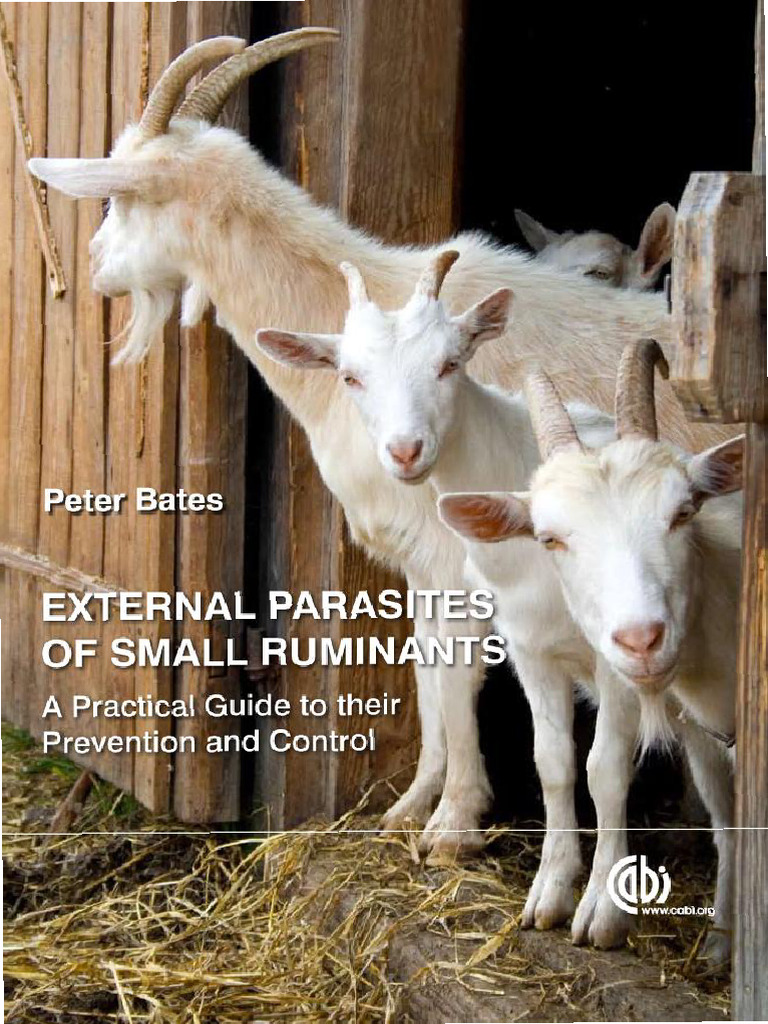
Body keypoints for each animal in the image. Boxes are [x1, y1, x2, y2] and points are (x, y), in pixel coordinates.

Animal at [439, 339, 743, 962]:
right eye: (550, 537)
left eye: (682, 513)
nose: (643, 636)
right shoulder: (534, 656)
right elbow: (553, 761)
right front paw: (550, 892)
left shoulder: (617, 671)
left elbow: (605, 767)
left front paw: (603, 909)